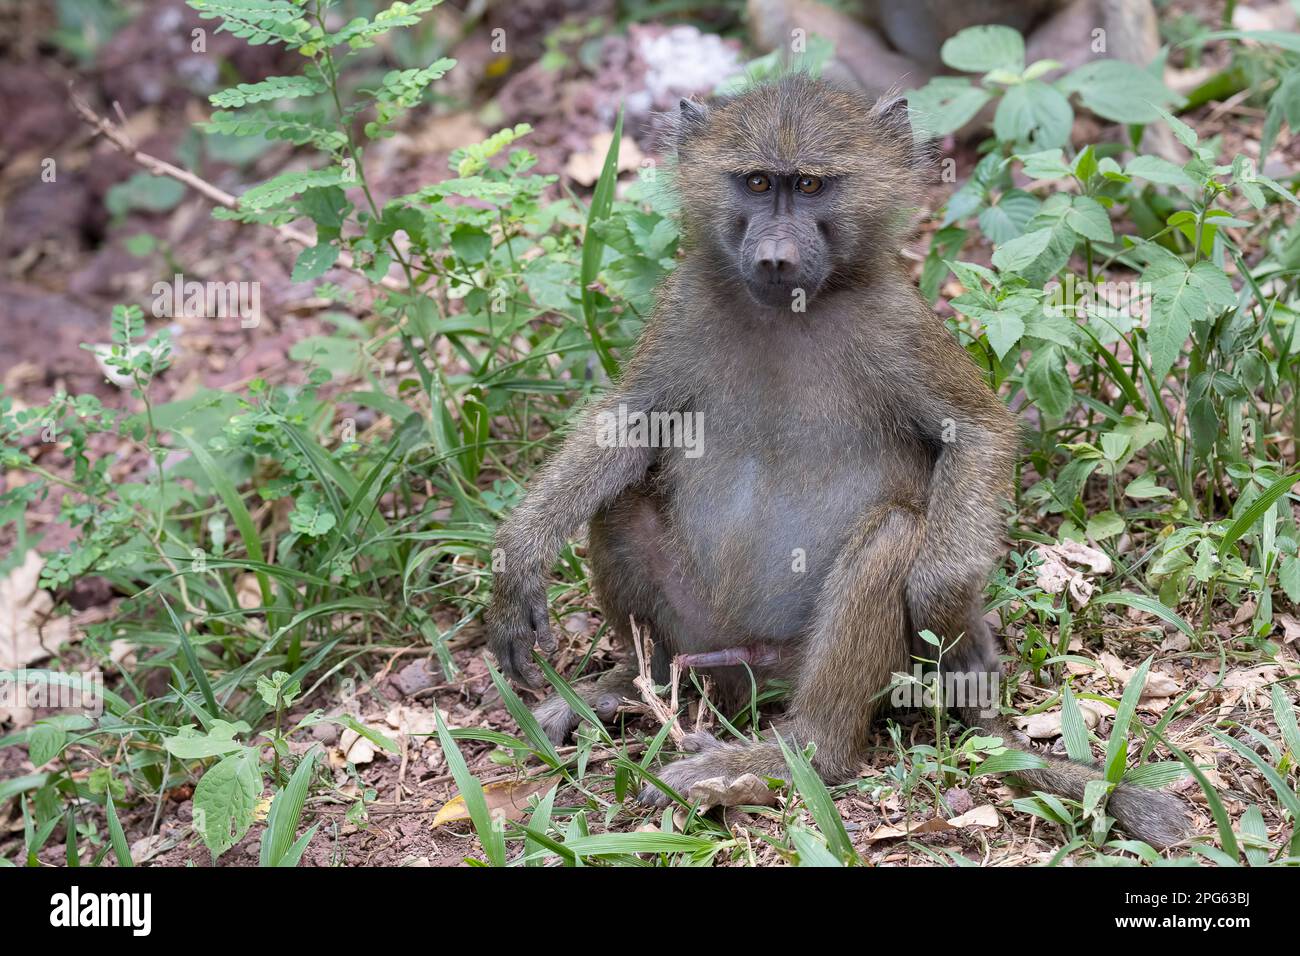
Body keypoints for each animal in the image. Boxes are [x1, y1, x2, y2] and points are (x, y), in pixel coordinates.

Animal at [486, 74, 1189, 849]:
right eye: (757, 182)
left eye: (812, 185)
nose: (775, 258)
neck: (790, 310)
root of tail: (748, 671)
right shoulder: (682, 308)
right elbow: (630, 423)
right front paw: (517, 565)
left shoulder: (897, 323)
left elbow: (977, 433)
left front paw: (950, 614)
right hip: (701, 632)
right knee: (621, 502)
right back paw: (632, 688)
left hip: (810, 661)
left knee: (892, 540)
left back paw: (789, 752)